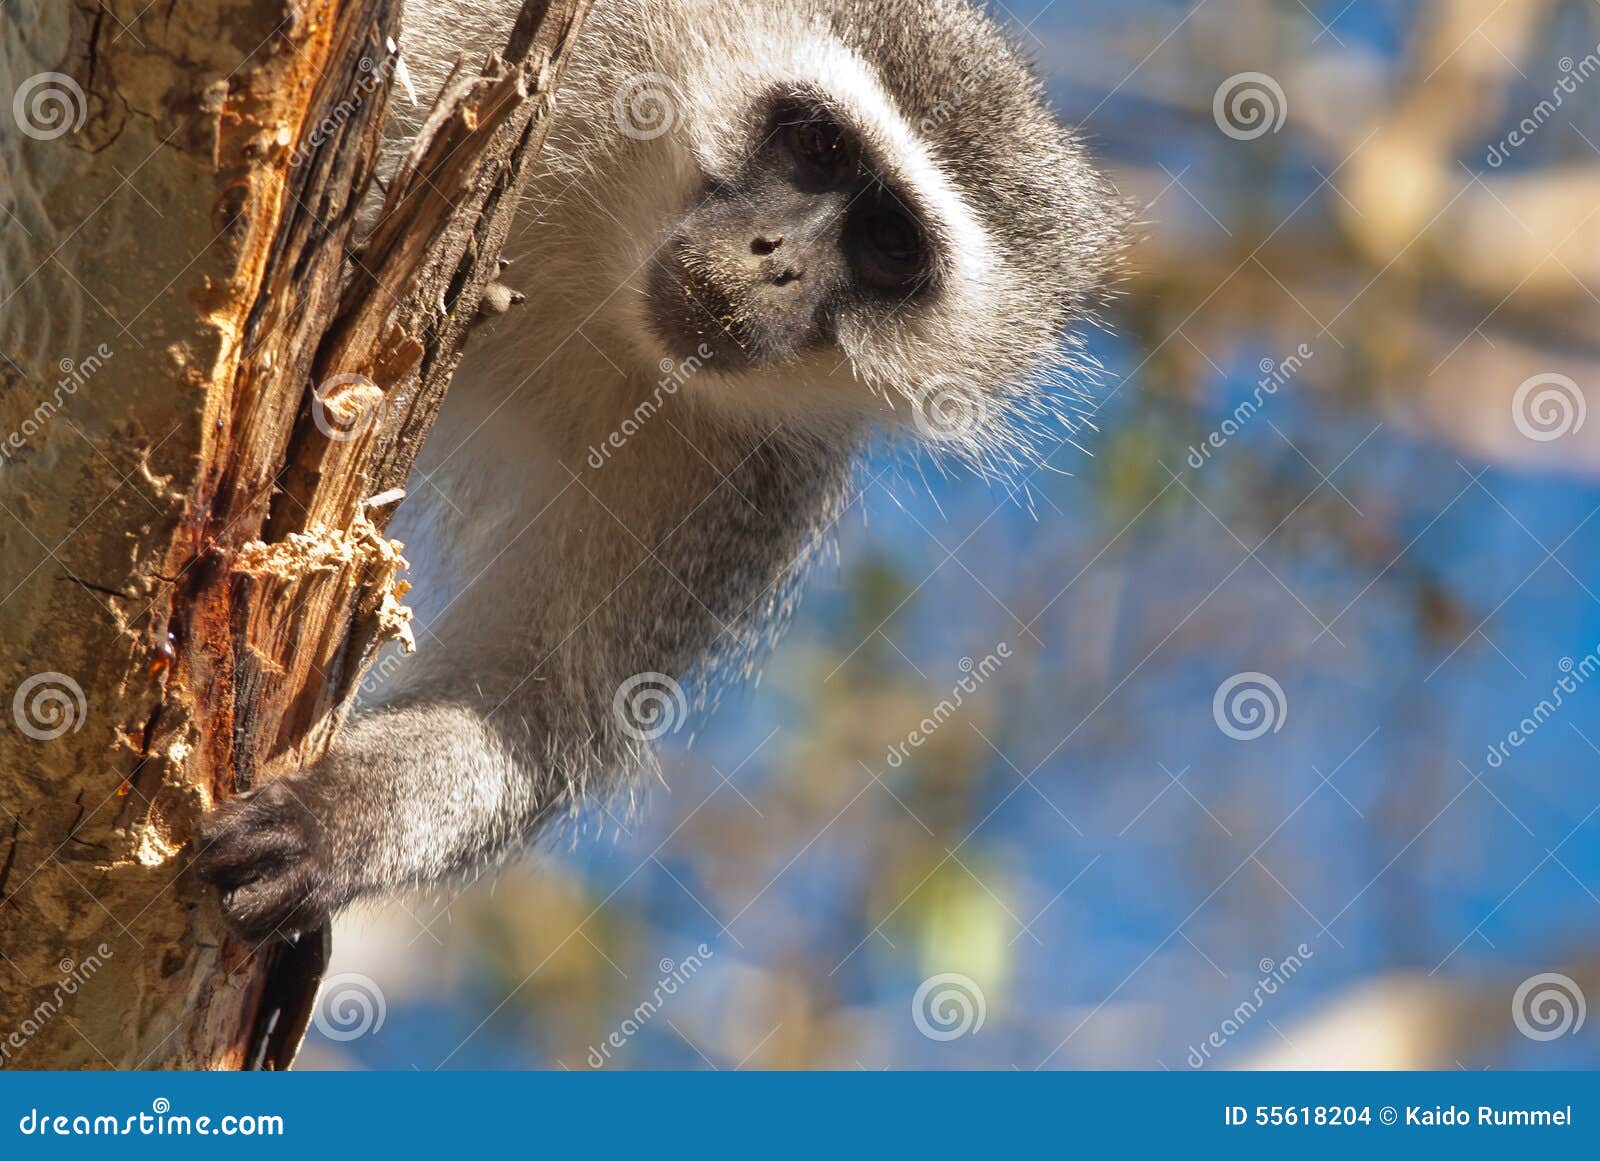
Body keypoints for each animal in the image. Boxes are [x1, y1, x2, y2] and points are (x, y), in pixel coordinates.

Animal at [195, 0, 1128, 942]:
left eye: (892, 243)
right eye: (819, 147)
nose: (777, 256)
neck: (595, 288)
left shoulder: (750, 481)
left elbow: (543, 697)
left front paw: (334, 822)